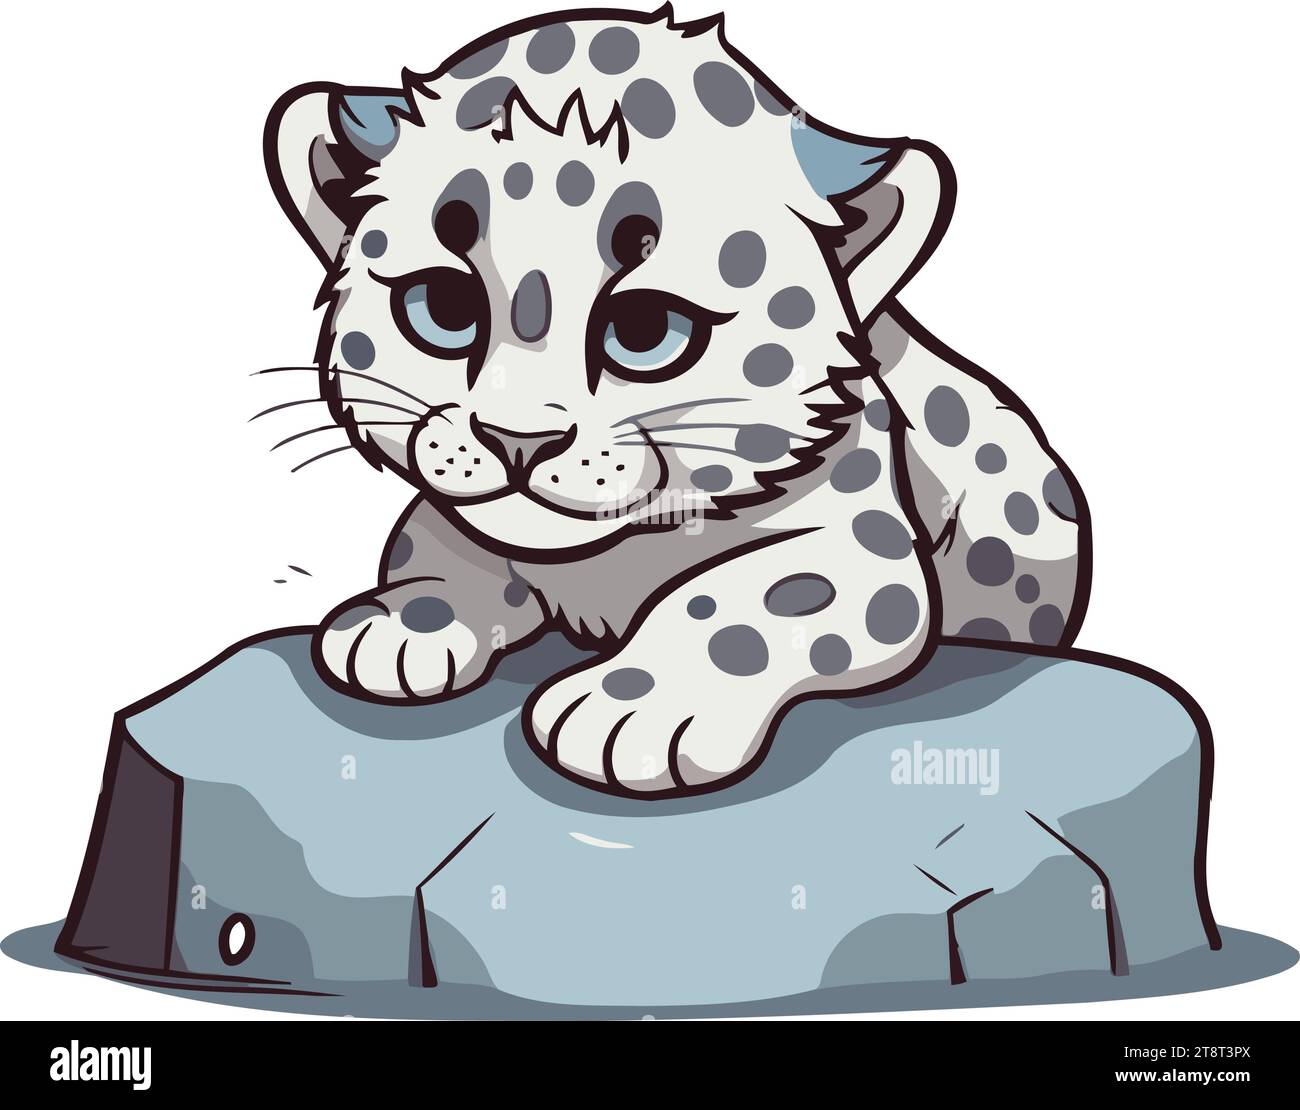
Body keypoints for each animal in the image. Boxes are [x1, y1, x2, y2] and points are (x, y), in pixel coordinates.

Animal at [263, 4, 1090, 796]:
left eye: (645, 329)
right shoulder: (463, 509)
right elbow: (434, 539)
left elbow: (745, 596)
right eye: (443, 306)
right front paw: (399, 621)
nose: (517, 439)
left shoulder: (858, 544)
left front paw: (630, 710)